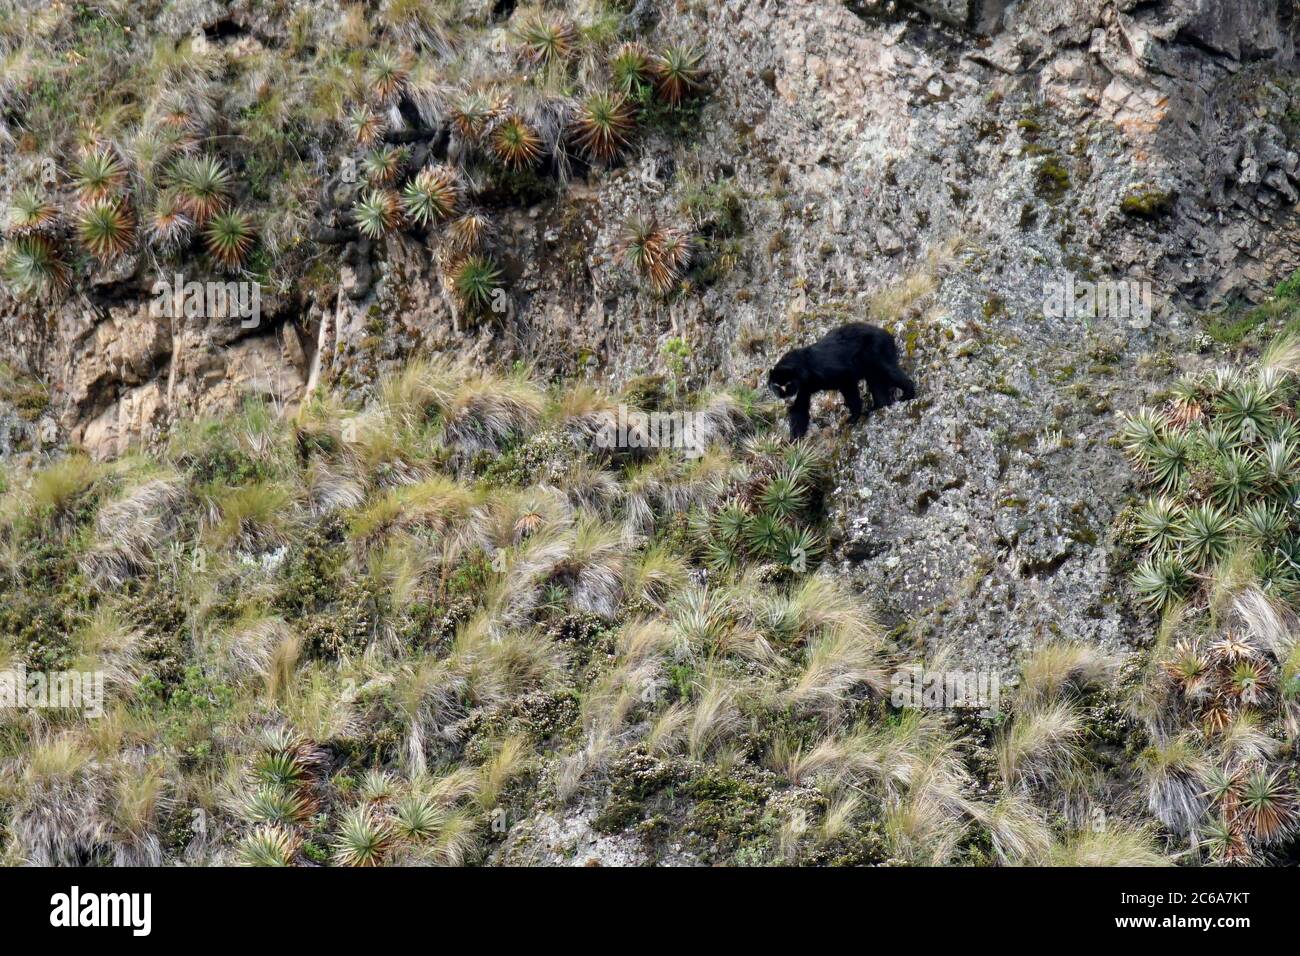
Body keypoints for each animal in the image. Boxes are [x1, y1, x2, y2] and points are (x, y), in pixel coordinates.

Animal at [767, 322, 916, 440]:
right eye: (776, 387)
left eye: (789, 385)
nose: (787, 400)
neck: (804, 375)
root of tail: (888, 334)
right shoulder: (803, 389)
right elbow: (799, 410)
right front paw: (794, 440)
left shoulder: (833, 373)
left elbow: (849, 387)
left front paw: (851, 419)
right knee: (877, 382)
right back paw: (878, 407)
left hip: (876, 351)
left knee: (888, 370)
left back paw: (906, 396)